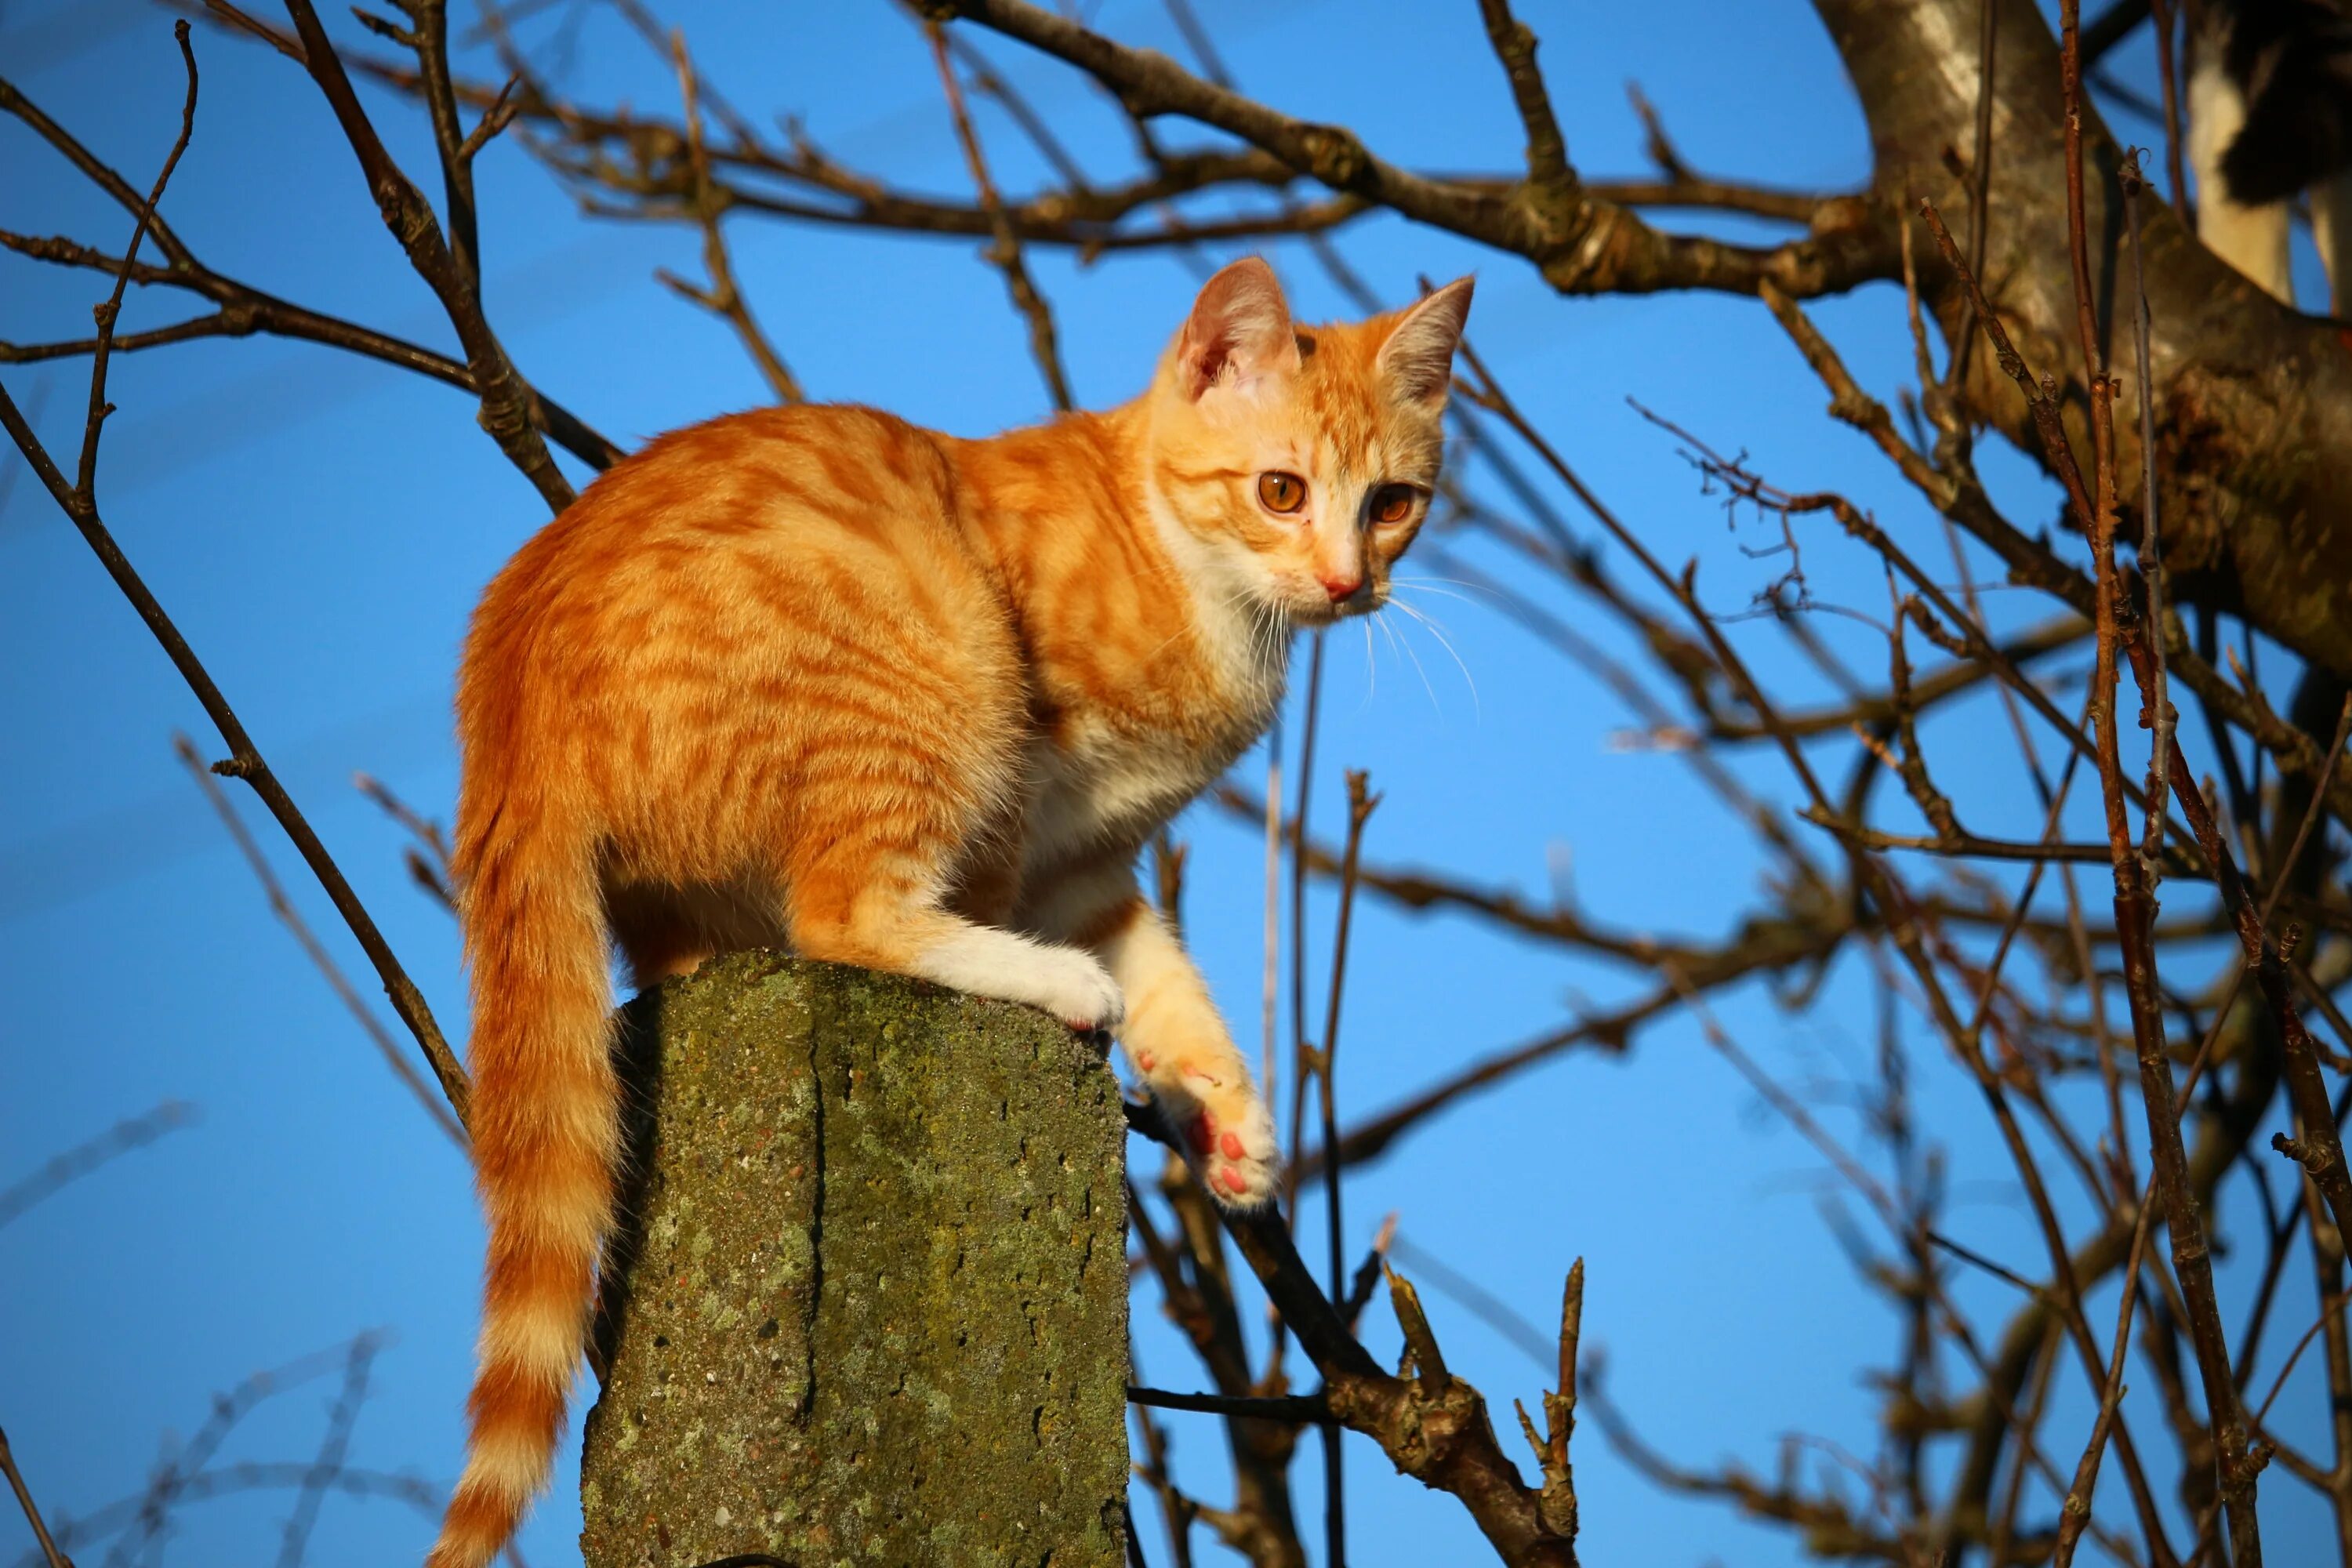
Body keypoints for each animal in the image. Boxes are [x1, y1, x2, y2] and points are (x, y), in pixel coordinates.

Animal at [428, 260, 1468, 1568]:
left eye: (1391, 504)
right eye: (1281, 491)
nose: (1345, 581)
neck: (1193, 580)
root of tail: (504, 698)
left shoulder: (1085, 864)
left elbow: (1167, 978)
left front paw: (1222, 1116)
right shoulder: (1019, 808)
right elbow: (1025, 919)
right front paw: (1090, 1004)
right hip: (938, 676)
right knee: (841, 910)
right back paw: (1040, 981)